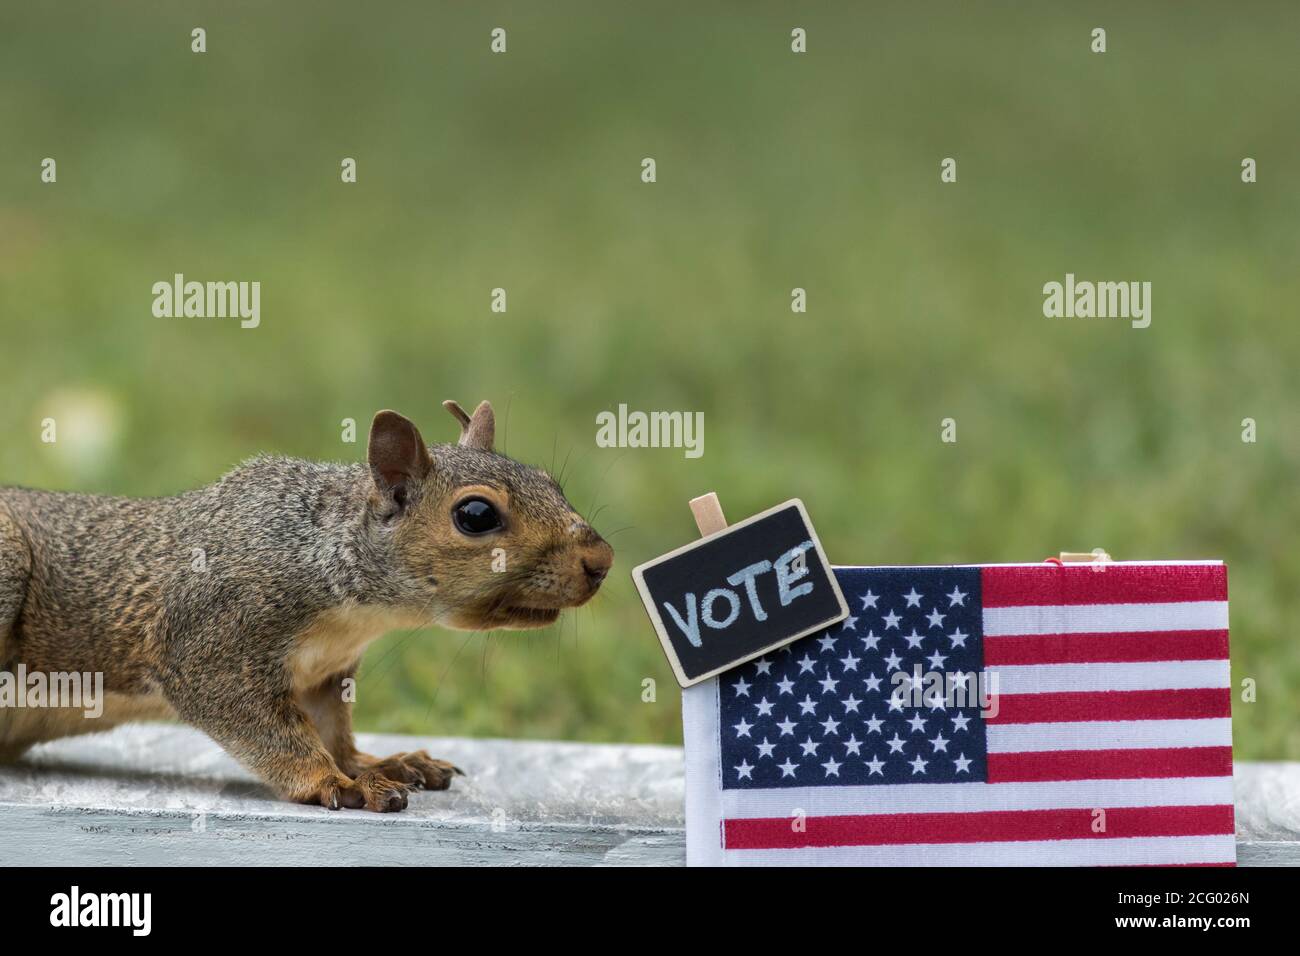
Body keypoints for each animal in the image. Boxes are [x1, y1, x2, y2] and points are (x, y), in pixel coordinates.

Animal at [0, 400, 614, 812]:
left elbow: (330, 727)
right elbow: (269, 730)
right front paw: (334, 783)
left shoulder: (324, 673)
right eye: (476, 515)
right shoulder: (213, 643)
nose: (601, 560)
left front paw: (375, 764)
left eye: (550, 481)